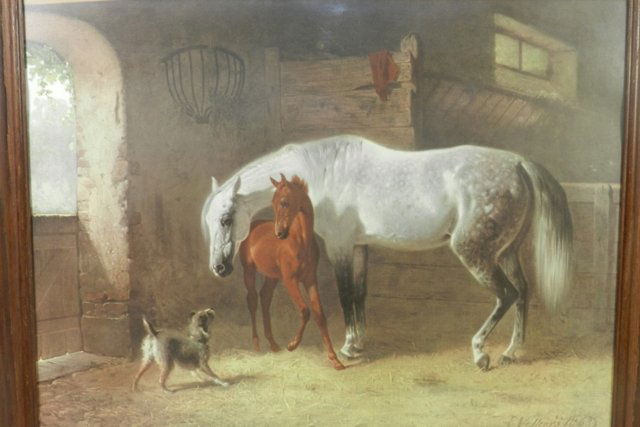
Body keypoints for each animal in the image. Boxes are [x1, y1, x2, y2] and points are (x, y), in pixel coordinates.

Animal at [238, 174, 345, 370]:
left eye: (284, 202)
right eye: (273, 203)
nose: (279, 233)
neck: (300, 241)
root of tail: (253, 226)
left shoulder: (310, 280)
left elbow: (320, 315)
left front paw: (334, 359)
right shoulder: (290, 280)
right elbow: (305, 311)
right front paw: (292, 345)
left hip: (271, 277)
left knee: (265, 297)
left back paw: (273, 344)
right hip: (248, 271)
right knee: (252, 300)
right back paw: (256, 345)